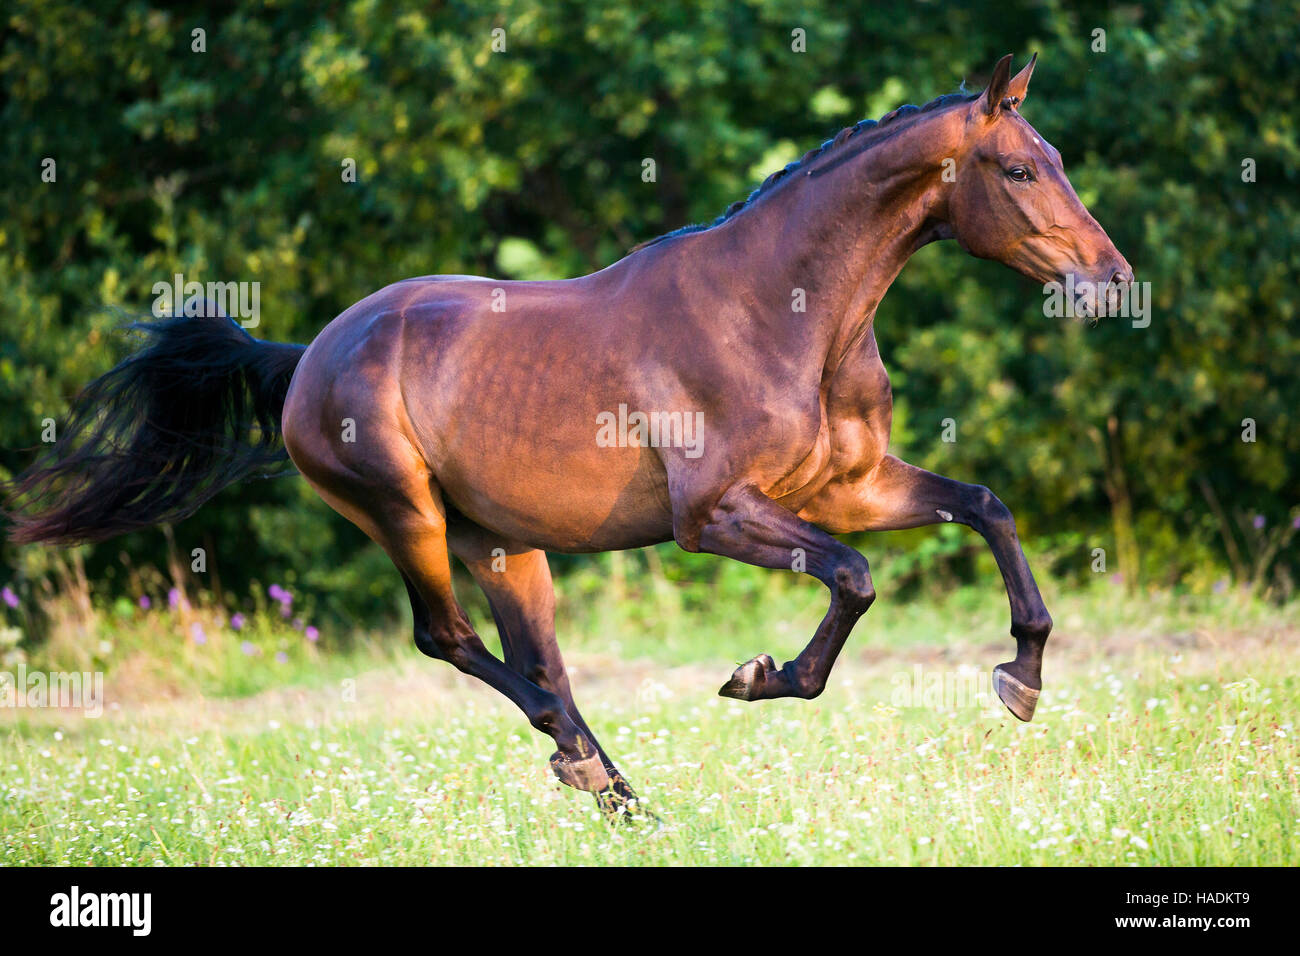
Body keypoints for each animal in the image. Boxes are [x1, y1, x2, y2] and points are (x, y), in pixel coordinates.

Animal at [6, 54, 1132, 815]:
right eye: (1021, 172)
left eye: (1056, 160)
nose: (1112, 281)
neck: (787, 311)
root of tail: (307, 356)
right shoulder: (714, 517)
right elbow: (854, 579)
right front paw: (759, 676)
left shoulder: (846, 487)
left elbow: (985, 506)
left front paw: (1022, 679)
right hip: (407, 515)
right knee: (451, 640)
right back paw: (591, 769)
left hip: (506, 543)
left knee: (539, 662)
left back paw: (616, 792)